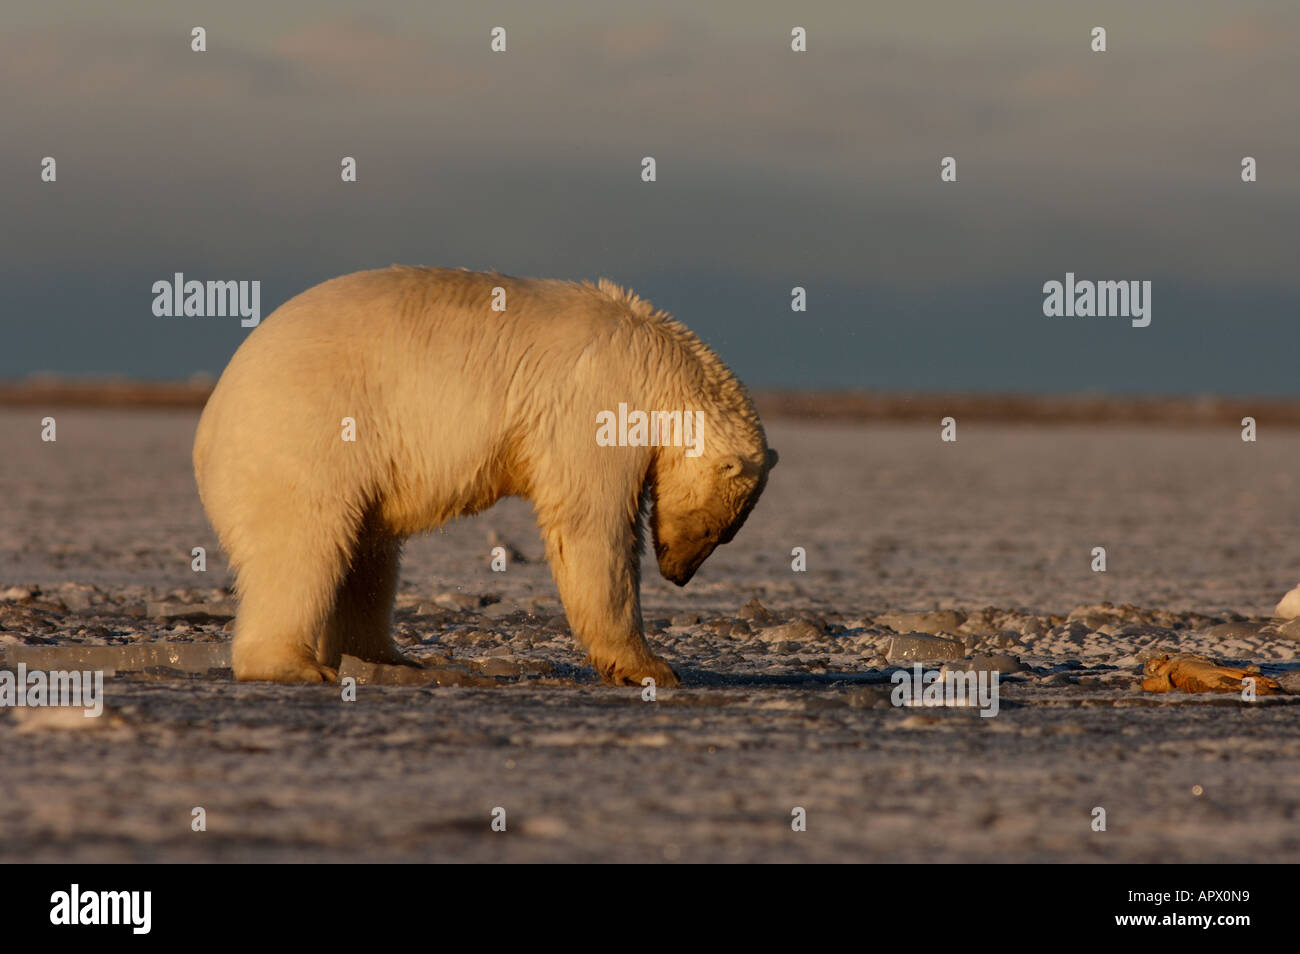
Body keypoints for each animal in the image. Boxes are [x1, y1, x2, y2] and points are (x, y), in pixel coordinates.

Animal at [193, 266, 777, 686]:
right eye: (717, 529)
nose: (678, 575)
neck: (661, 364)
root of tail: (209, 425)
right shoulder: (600, 402)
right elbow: (592, 522)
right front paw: (651, 667)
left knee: (368, 554)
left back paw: (392, 659)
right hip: (309, 432)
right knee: (303, 544)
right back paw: (296, 665)